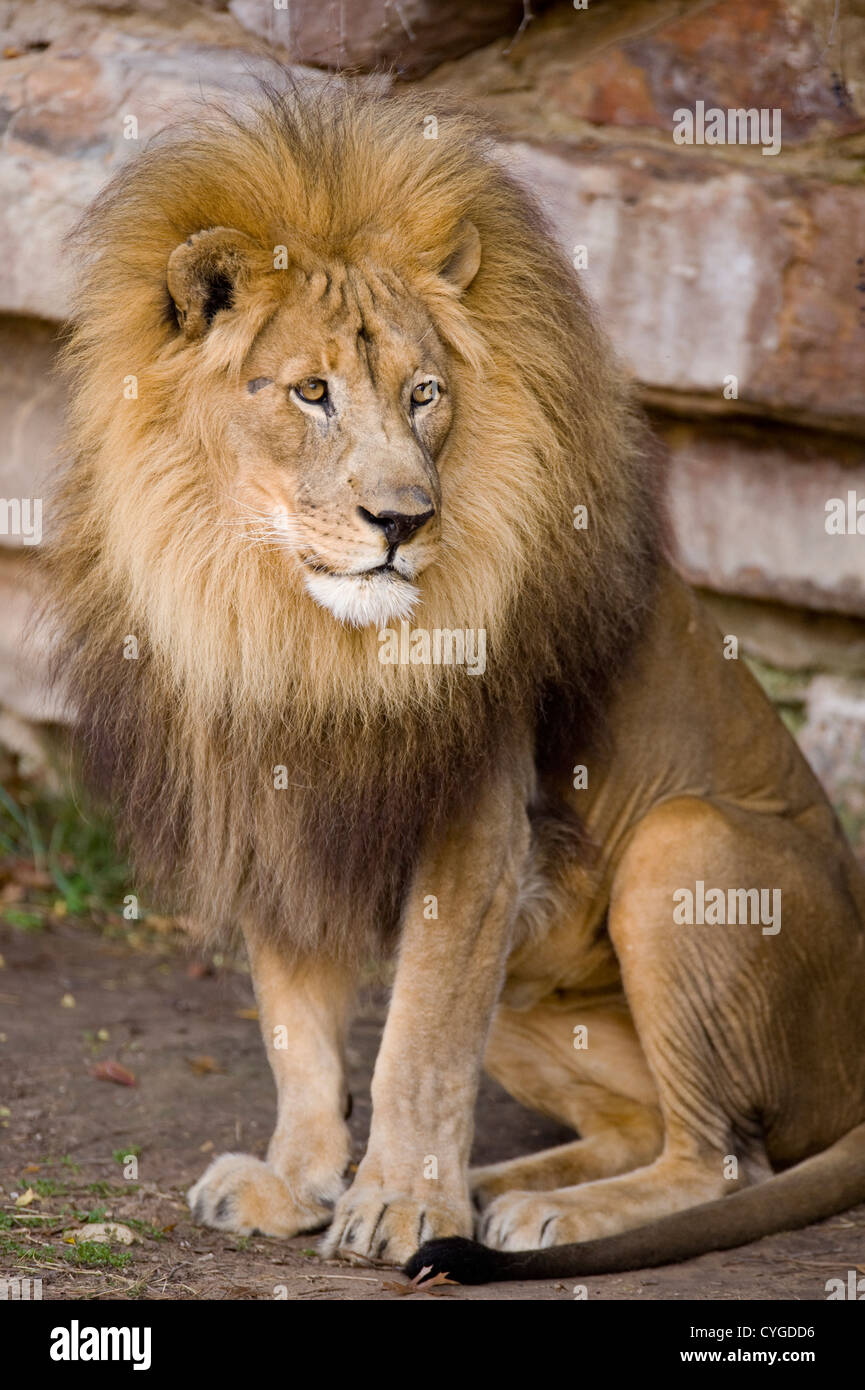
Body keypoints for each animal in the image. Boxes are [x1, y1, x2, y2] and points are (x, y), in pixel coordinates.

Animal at [45, 80, 865, 1285]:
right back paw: (492, 1188)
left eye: (426, 393)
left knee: (721, 1158)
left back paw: (532, 1213)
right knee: (642, 1127)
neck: (293, 628)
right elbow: (296, 1030)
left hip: (683, 846)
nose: (403, 521)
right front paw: (302, 1183)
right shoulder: (275, 813)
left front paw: (395, 1204)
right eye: (311, 392)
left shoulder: (476, 834)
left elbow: (418, 1043)